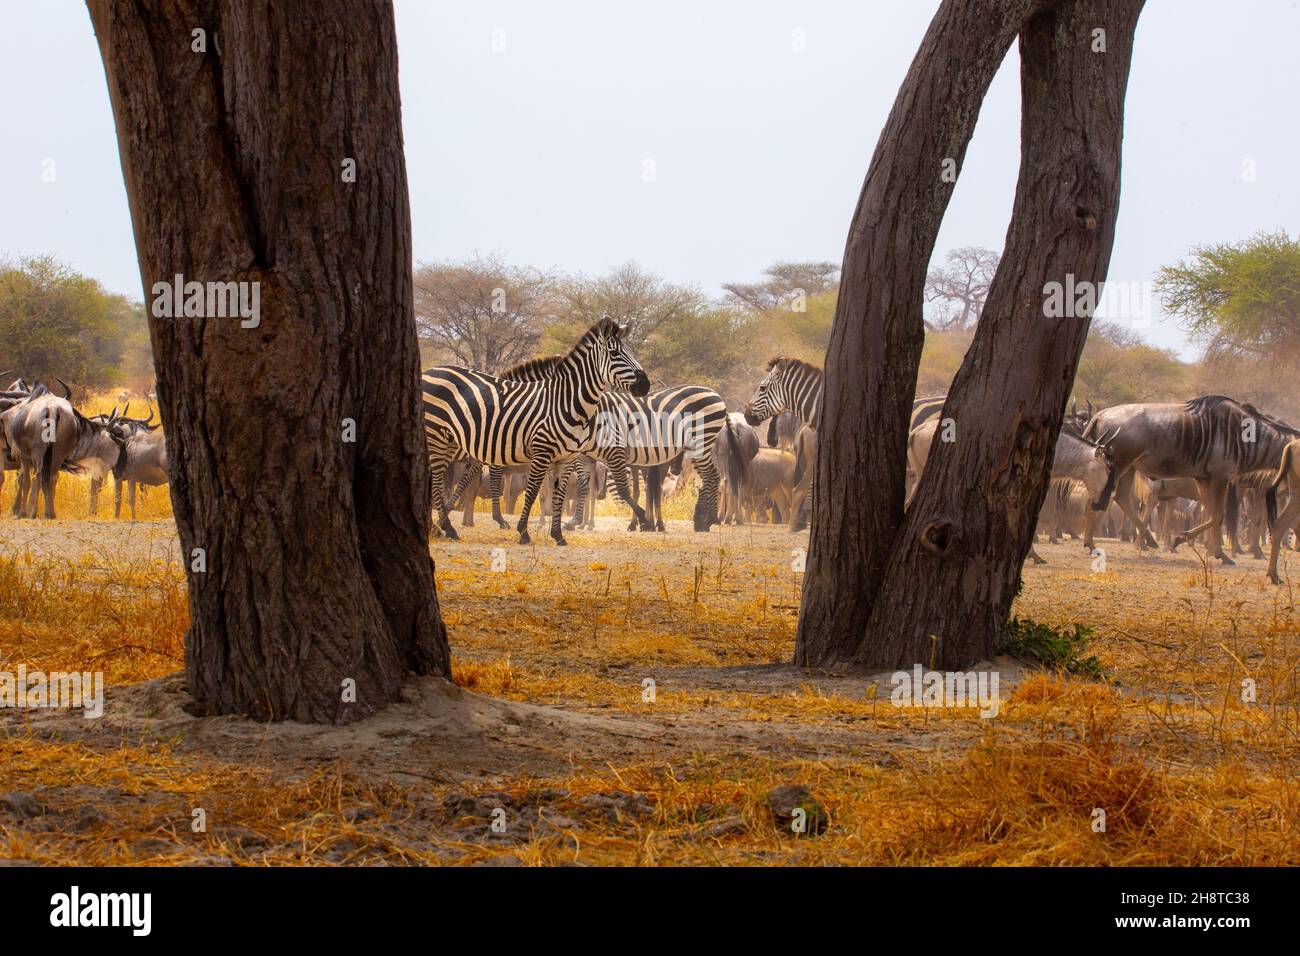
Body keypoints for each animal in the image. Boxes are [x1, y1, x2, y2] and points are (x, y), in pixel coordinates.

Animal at [421, 318, 649, 546]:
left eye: (630, 351)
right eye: (615, 353)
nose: (645, 385)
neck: (564, 403)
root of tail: (428, 371)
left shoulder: (565, 458)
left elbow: (558, 495)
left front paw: (557, 535)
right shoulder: (537, 453)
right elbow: (531, 492)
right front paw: (523, 531)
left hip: (448, 441)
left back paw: (441, 527)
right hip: (435, 436)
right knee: (436, 481)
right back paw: (445, 527)